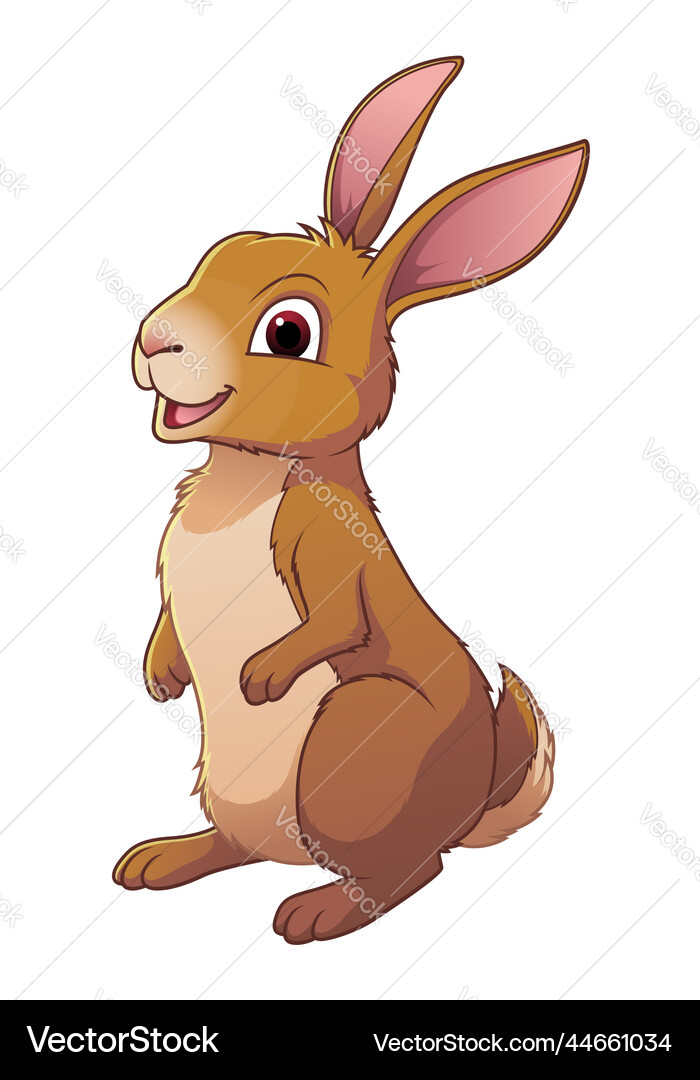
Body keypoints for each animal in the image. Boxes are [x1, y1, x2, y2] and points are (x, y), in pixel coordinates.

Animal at [114, 55, 588, 944]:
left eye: (289, 332)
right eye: (219, 253)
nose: (157, 338)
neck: (252, 474)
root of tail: (466, 811)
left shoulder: (327, 550)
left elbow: (338, 622)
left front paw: (260, 678)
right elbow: (165, 622)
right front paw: (160, 679)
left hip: (352, 739)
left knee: (410, 874)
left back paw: (316, 913)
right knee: (239, 847)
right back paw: (159, 861)